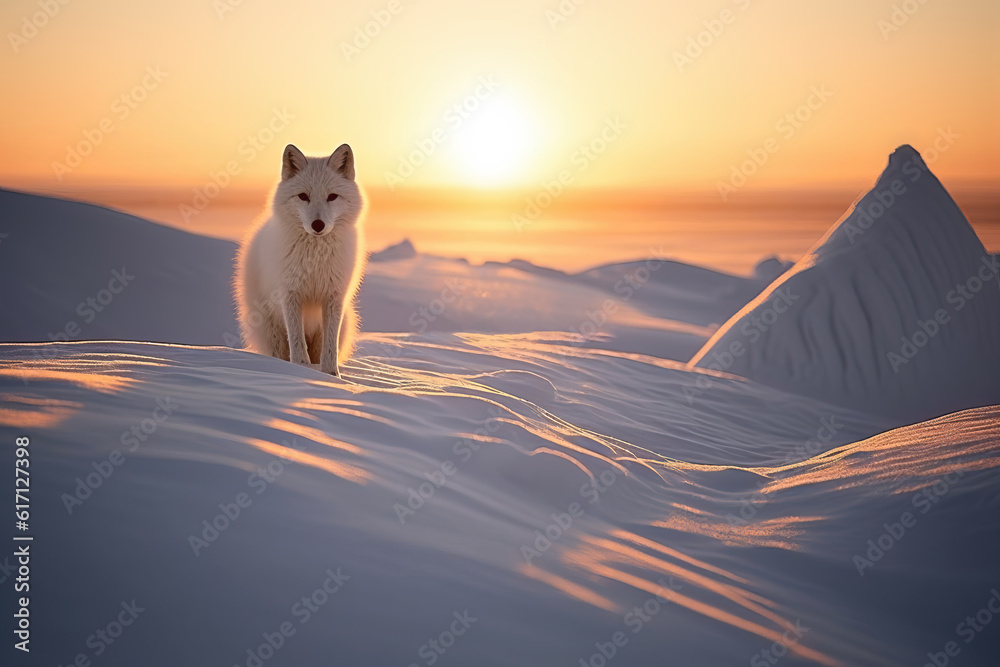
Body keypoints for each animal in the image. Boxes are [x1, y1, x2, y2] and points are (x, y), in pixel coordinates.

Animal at [235, 143, 366, 378]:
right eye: (303, 196)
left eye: (332, 196)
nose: (318, 225)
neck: (315, 258)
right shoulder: (290, 294)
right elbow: (296, 340)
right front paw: (300, 369)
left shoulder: (334, 296)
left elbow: (330, 347)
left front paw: (331, 375)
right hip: (271, 330)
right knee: (280, 352)